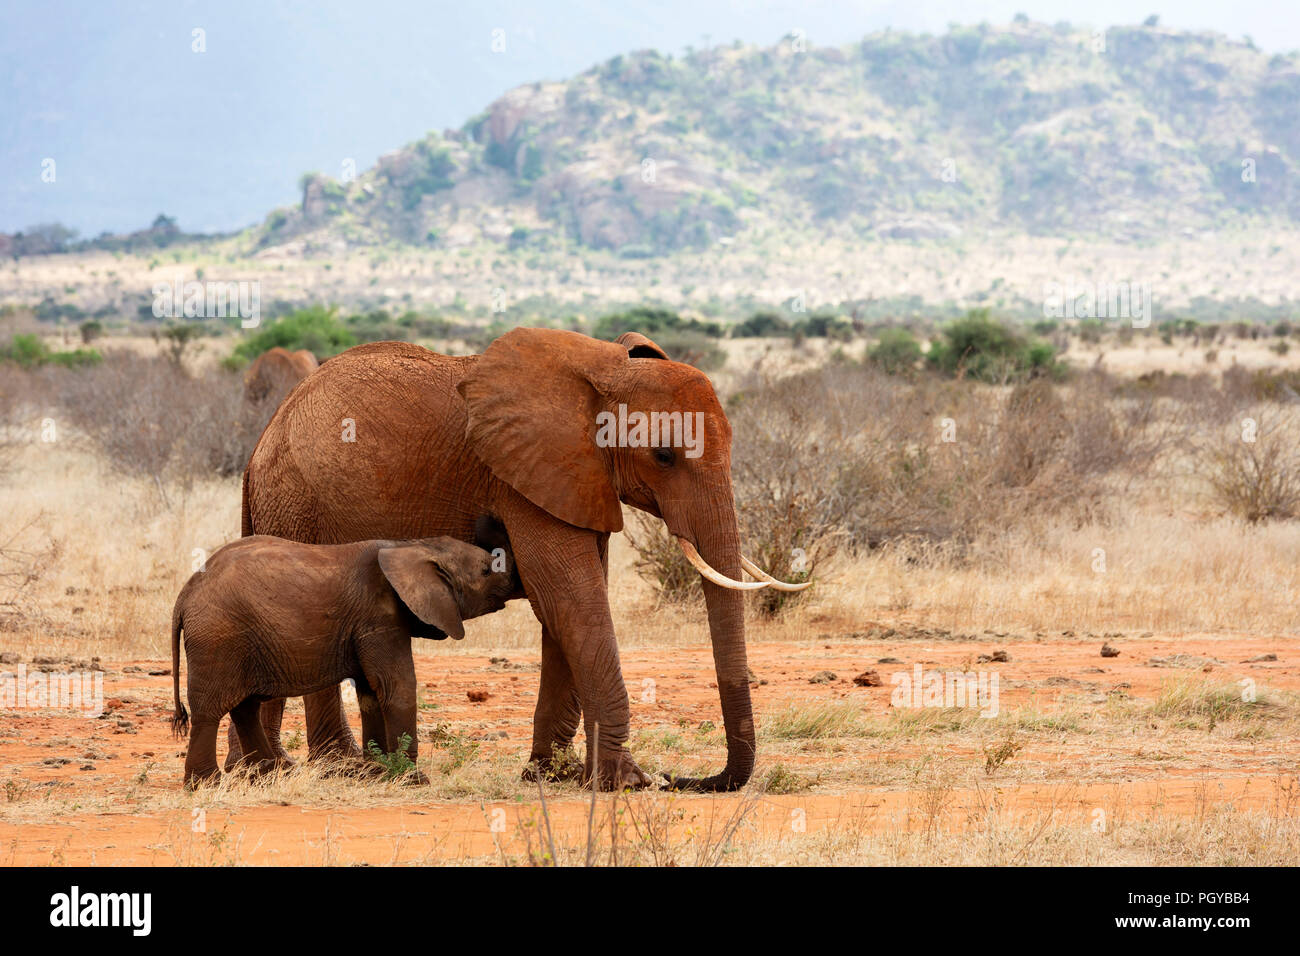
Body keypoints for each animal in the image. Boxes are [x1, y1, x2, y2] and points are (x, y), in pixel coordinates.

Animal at [170, 517, 520, 787]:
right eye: (486, 572)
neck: (411, 546)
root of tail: (184, 595)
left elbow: (370, 694)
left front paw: (377, 772)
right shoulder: (378, 618)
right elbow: (396, 686)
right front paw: (412, 779)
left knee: (244, 708)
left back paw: (269, 778)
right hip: (219, 638)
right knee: (210, 710)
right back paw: (204, 784)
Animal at [227, 327, 807, 791]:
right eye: (664, 455)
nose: (682, 779)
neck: (603, 370)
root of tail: (259, 448)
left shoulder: (577, 480)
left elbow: (567, 606)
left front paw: (552, 775)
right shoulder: (521, 480)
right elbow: (572, 598)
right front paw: (624, 783)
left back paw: (276, 770)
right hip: (297, 503)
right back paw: (317, 770)